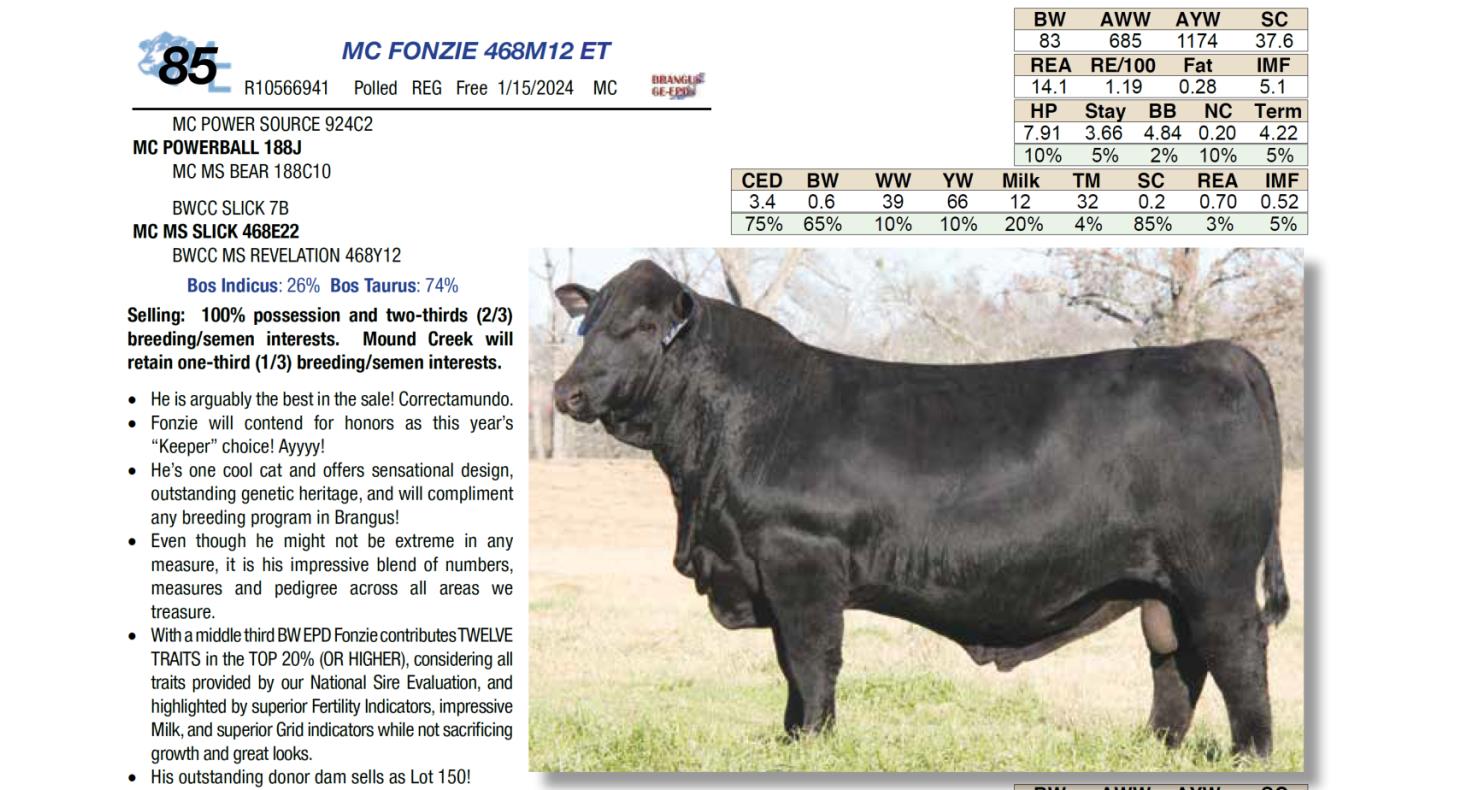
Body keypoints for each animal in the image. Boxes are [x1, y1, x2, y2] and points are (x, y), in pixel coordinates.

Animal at [552, 260, 1290, 757]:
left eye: (643, 328)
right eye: (587, 326)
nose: (565, 392)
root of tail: (1218, 353)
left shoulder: (801, 561)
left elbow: (809, 658)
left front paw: (813, 741)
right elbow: (791, 663)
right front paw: (792, 738)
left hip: (1216, 573)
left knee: (1237, 649)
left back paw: (1249, 753)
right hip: (1163, 584)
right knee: (1176, 661)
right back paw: (1152, 747)